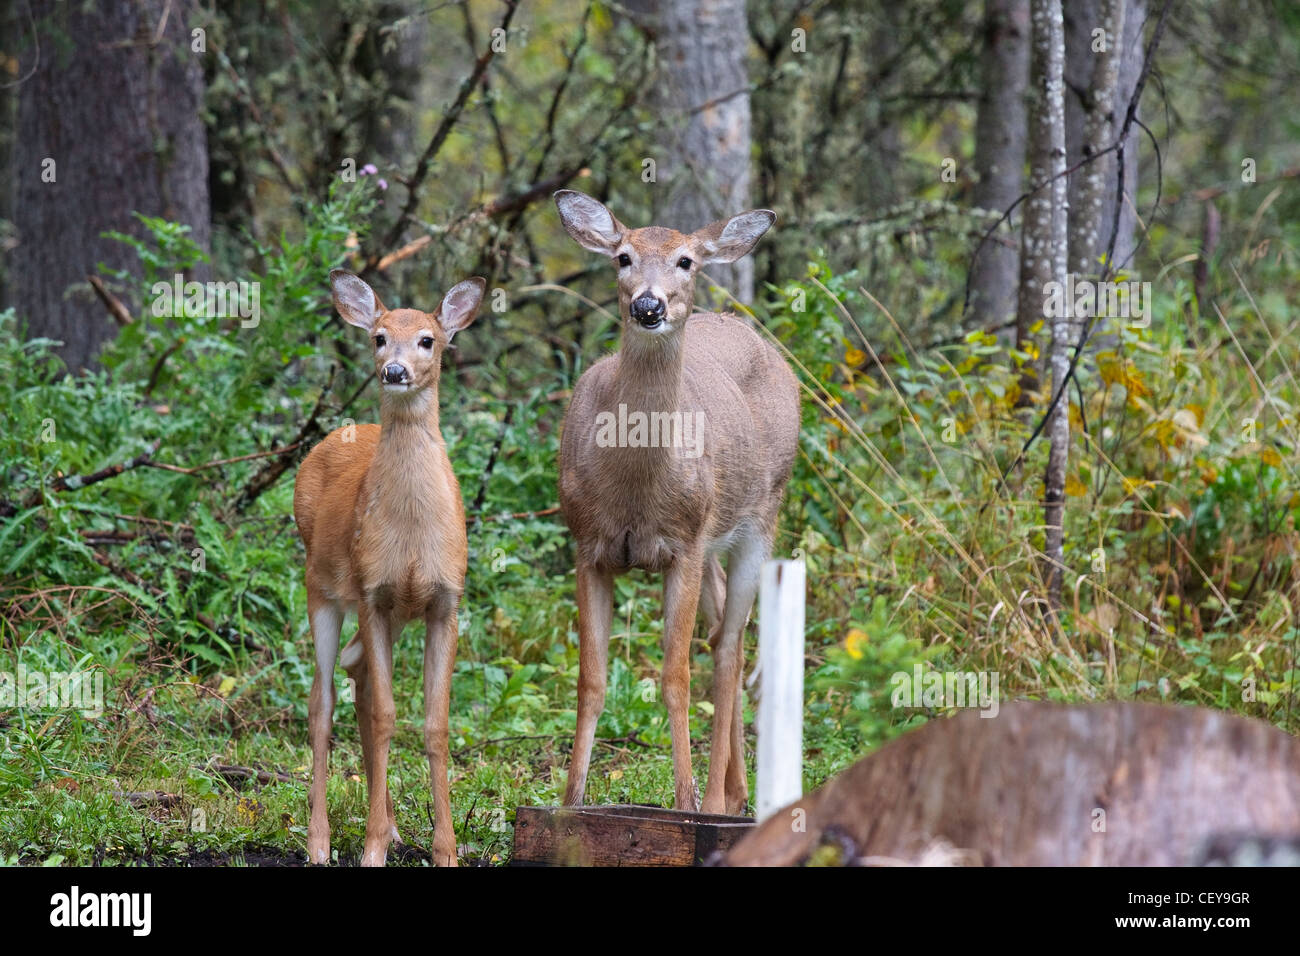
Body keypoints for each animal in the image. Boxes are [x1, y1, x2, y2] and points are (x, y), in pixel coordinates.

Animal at [292, 269, 485, 867]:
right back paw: (321, 841)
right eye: (378, 337)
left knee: (355, 670)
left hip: (393, 612)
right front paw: (371, 848)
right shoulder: (374, 594)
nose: (394, 370)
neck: (413, 535)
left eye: (428, 339)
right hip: (322, 588)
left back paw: (396, 827)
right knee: (323, 699)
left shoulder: (445, 601)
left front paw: (445, 850)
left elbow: (435, 724)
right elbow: (384, 717)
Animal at [553, 189, 800, 816]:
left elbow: (675, 677)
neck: (635, 487)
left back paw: (715, 801)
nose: (648, 305)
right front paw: (570, 799)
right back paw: (736, 790)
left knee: (730, 647)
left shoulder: (683, 547)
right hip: (713, 540)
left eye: (686, 261)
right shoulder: (587, 545)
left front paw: (684, 798)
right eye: (622, 256)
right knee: (720, 632)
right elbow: (591, 679)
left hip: (760, 517)